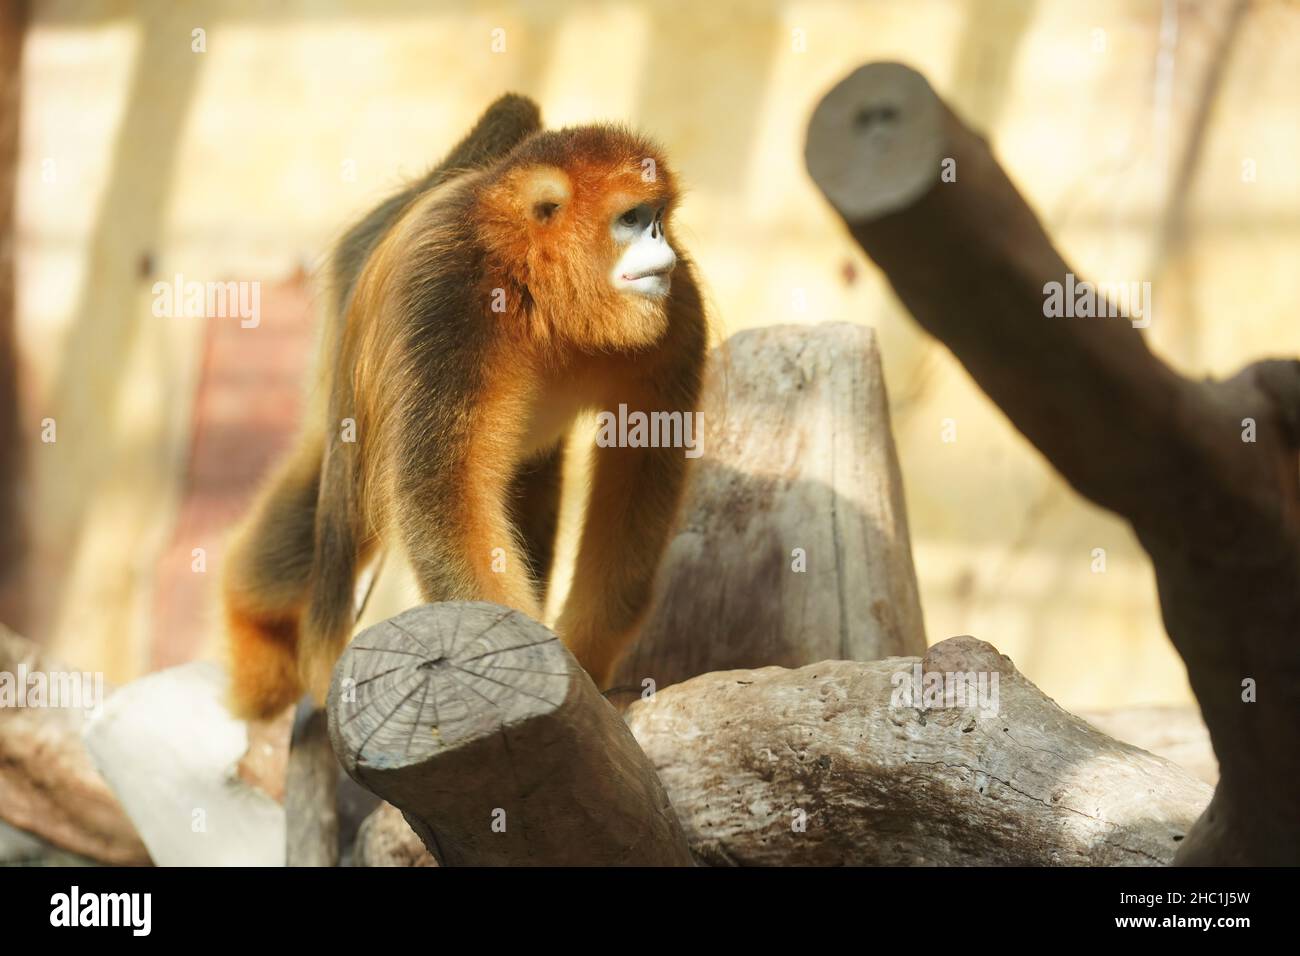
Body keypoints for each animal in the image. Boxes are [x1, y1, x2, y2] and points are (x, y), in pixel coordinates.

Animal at [222, 95, 707, 720]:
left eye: (660, 216)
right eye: (631, 218)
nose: (660, 243)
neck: (538, 292)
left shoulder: (679, 310)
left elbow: (642, 478)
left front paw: (589, 670)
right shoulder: (449, 301)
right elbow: (441, 495)